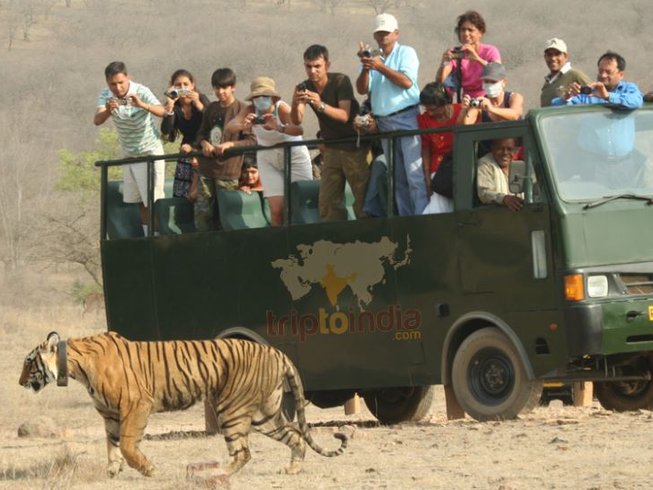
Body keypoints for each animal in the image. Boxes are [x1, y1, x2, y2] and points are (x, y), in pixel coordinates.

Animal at [19, 331, 347, 478]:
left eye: (28, 363)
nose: (20, 382)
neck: (73, 364)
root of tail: (277, 352)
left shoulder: (136, 404)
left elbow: (128, 443)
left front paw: (148, 469)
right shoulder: (110, 414)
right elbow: (112, 444)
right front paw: (112, 472)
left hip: (231, 408)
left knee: (243, 452)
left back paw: (218, 474)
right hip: (263, 414)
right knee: (294, 436)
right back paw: (292, 469)